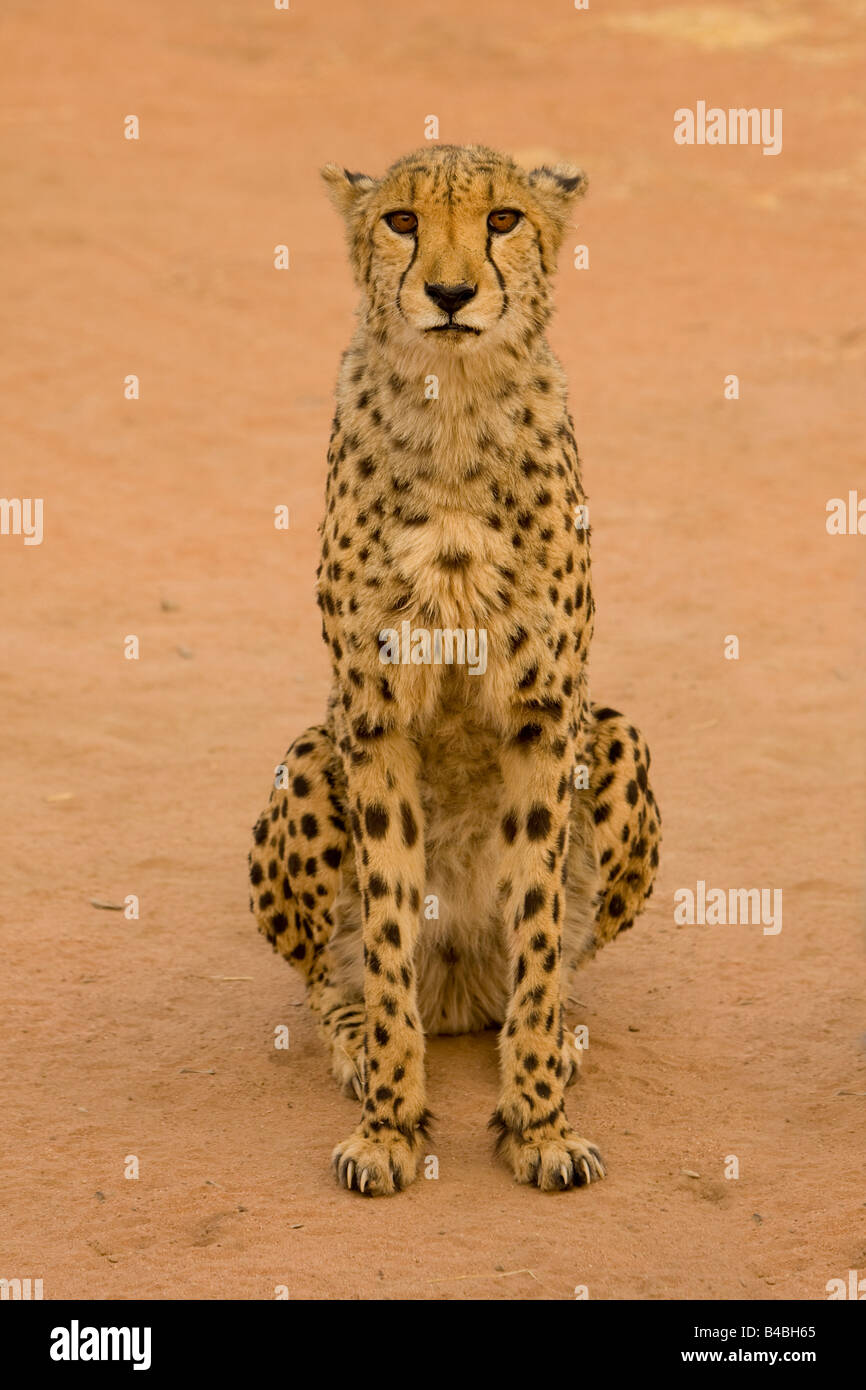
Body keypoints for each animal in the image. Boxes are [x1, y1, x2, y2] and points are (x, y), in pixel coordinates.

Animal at [248, 144, 661, 1196]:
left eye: (503, 219)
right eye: (400, 221)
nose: (448, 291)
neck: (455, 398)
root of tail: (464, 998)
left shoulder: (549, 714)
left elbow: (542, 932)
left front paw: (541, 1123)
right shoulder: (374, 718)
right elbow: (390, 933)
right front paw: (392, 1126)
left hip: (616, 737)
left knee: (553, 964)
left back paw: (544, 1041)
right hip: (312, 753)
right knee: (325, 975)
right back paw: (356, 1041)